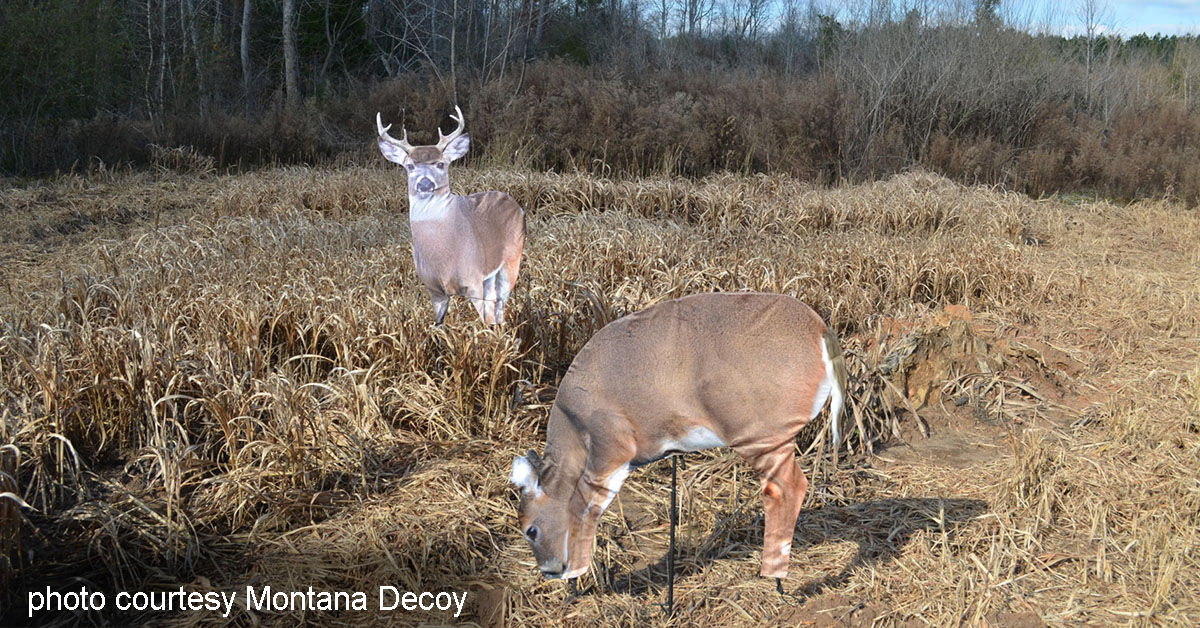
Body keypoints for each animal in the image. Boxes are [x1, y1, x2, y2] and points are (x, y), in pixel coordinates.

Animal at [376, 106, 526, 325]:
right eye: (410, 166)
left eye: (440, 164)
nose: (425, 184)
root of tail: (513, 201)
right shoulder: (433, 288)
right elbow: (438, 324)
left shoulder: (473, 280)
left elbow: (486, 320)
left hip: (511, 259)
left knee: (500, 306)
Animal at [510, 292, 847, 593]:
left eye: (530, 530)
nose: (549, 570)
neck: (575, 422)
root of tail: (822, 332)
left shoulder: (611, 448)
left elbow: (584, 506)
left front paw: (577, 577)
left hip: (758, 431)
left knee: (787, 488)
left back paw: (775, 578)